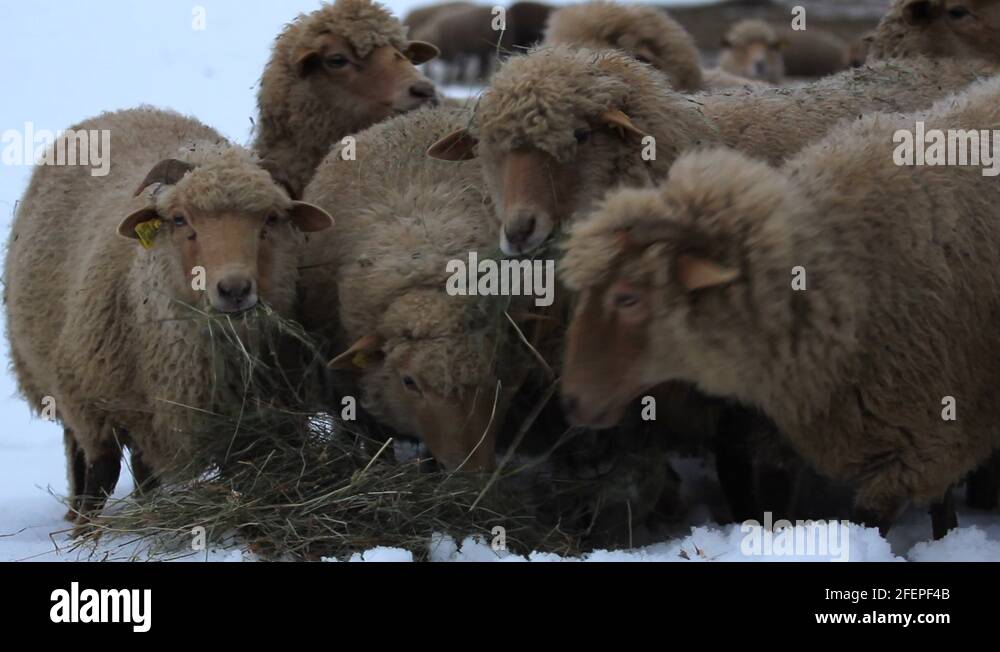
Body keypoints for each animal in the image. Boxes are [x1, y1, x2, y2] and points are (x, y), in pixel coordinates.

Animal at [3, 107, 335, 529]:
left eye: (272, 218)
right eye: (179, 219)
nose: (234, 290)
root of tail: (126, 110)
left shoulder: (246, 423)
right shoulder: (89, 404)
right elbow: (99, 478)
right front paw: (83, 533)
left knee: (145, 468)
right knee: (77, 455)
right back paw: (74, 511)